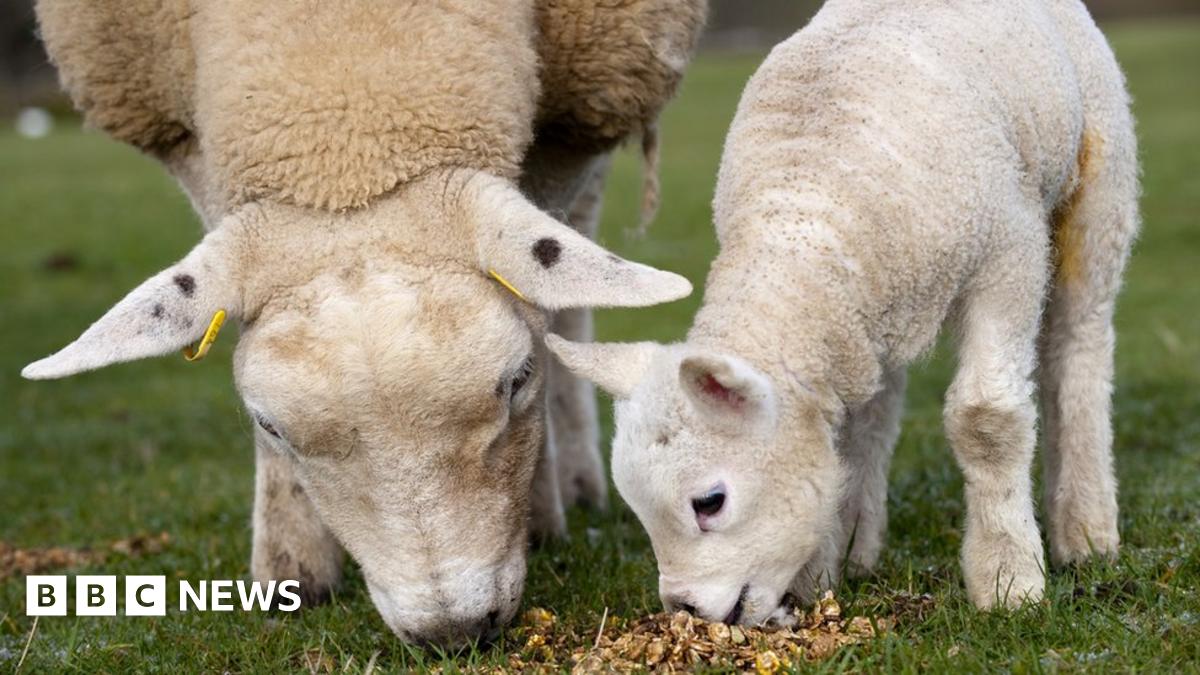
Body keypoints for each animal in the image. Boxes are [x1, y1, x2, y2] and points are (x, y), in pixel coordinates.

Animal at [25, 0, 705, 646]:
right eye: (268, 426)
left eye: (519, 380)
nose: (453, 631)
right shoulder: (174, 127)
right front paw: (291, 571)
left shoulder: (580, 110)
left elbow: (540, 293)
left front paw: (540, 516)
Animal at [549, 0, 1139, 624]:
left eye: (709, 502)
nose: (685, 608)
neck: (804, 208)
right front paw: (820, 573)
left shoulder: (1007, 254)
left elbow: (987, 419)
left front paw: (1007, 578)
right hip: (881, 310)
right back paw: (861, 542)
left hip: (1098, 187)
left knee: (1079, 343)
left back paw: (1087, 528)